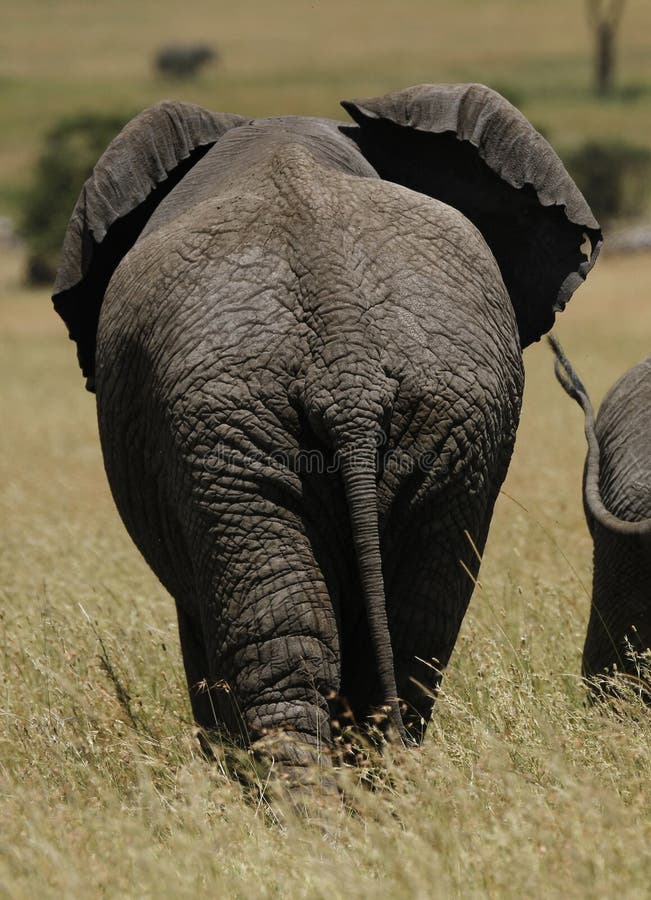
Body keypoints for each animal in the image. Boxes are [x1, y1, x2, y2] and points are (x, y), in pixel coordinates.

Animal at [52, 83, 601, 786]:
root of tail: (345, 355)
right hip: (437, 424)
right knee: (410, 635)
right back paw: (374, 794)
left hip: (233, 432)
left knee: (288, 643)